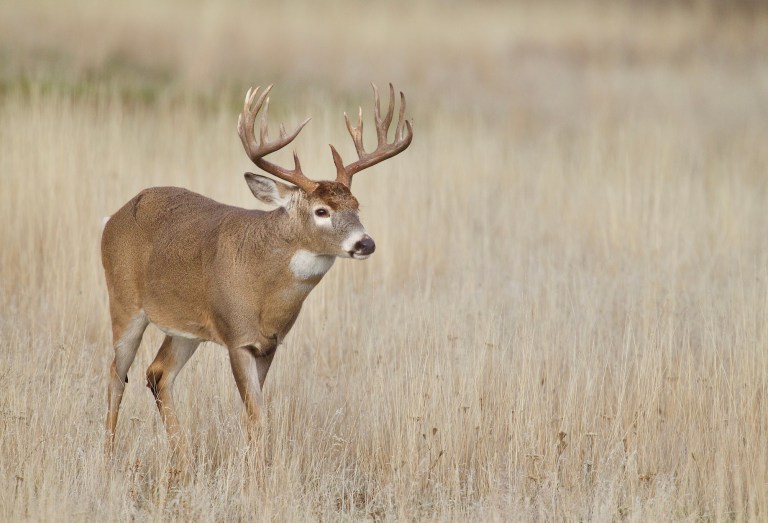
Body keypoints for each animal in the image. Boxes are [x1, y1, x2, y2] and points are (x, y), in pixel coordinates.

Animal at [101, 84, 413, 457]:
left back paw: (183, 458)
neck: (264, 288)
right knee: (117, 375)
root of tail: (112, 219)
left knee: (158, 373)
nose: (365, 243)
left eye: (356, 205)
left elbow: (254, 418)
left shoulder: (270, 344)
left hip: (184, 328)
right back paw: (108, 455)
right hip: (124, 302)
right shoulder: (238, 337)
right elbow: (258, 416)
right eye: (322, 211)